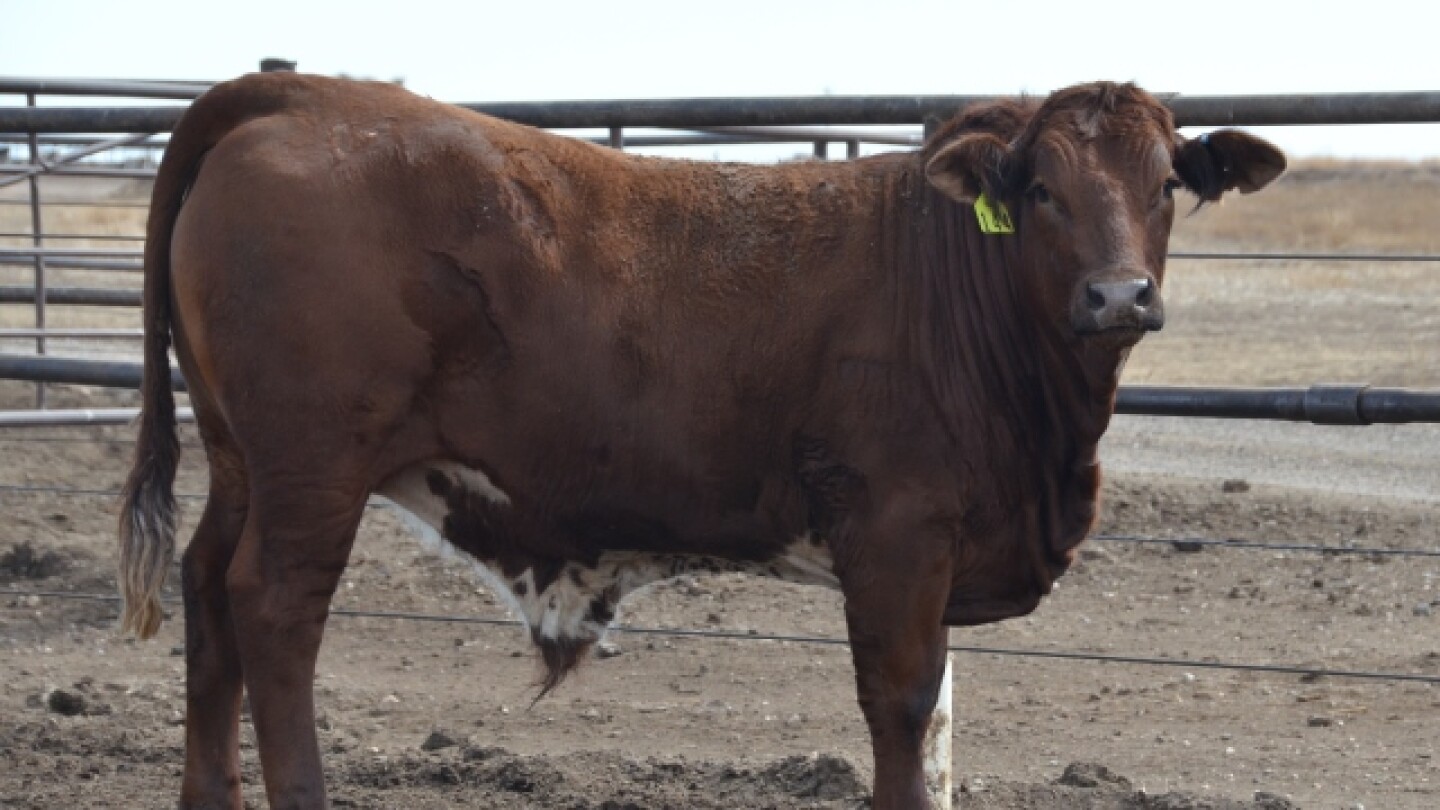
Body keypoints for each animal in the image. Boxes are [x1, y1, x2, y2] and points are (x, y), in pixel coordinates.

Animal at [117, 72, 1283, 809]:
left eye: (1164, 185)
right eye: (1040, 188)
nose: (1119, 296)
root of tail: (298, 94)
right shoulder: (897, 533)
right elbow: (902, 709)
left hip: (239, 458)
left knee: (208, 590)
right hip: (313, 468)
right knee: (273, 610)